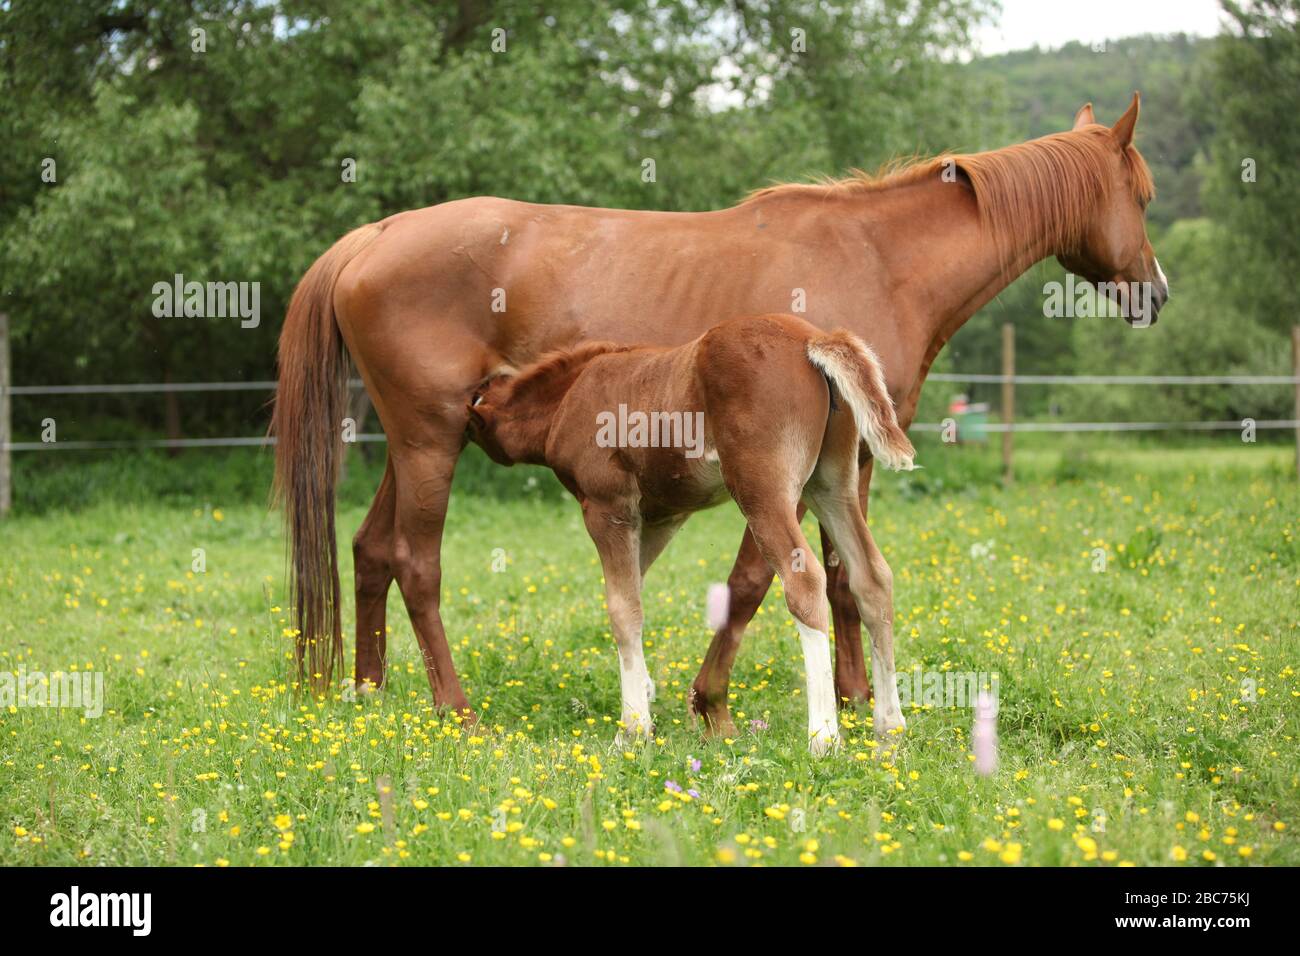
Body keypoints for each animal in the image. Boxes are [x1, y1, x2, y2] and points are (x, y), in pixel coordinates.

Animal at [466, 314, 916, 751]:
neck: (571, 395)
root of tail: (813, 340)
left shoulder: (608, 509)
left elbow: (622, 609)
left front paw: (633, 729)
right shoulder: (662, 518)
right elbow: (635, 591)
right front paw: (646, 691)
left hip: (764, 490)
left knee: (804, 583)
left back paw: (823, 737)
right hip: (831, 485)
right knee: (872, 579)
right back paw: (889, 729)